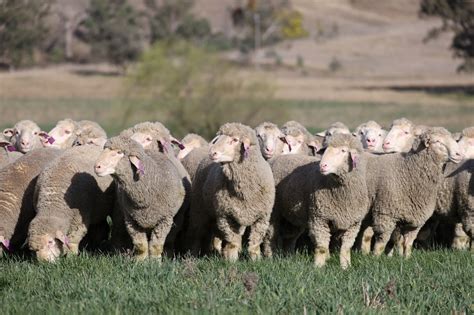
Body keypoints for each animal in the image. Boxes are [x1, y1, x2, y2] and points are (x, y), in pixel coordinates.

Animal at [185, 123, 274, 262]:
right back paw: (192, 256)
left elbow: (254, 243)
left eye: (235, 140)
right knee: (196, 234)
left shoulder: (262, 217)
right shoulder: (225, 215)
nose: (213, 152)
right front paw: (231, 260)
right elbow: (232, 241)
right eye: (219, 138)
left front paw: (255, 260)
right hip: (199, 209)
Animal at [366, 127, 462, 258]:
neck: (407, 171)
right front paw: (376, 258)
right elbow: (382, 241)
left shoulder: (415, 219)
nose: (459, 154)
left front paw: (406, 258)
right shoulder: (385, 214)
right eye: (437, 141)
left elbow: (408, 242)